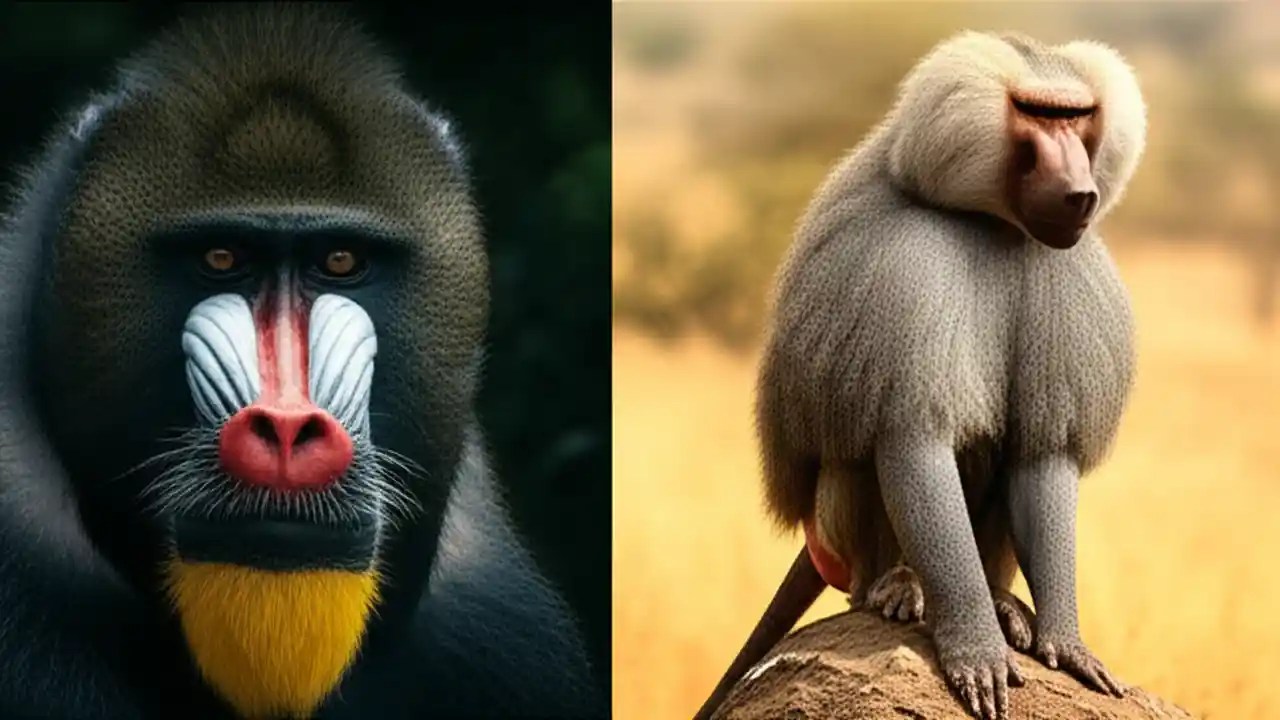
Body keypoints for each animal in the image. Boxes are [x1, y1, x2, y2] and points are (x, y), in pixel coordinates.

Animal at [694, 31, 1146, 720]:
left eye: (1076, 116)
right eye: (1035, 113)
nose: (1079, 193)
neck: (992, 220)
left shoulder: (1063, 270)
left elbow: (1040, 454)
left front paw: (1066, 645)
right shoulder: (899, 263)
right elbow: (912, 440)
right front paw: (975, 649)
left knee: (997, 446)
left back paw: (1002, 602)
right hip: (837, 537)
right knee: (862, 452)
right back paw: (899, 586)